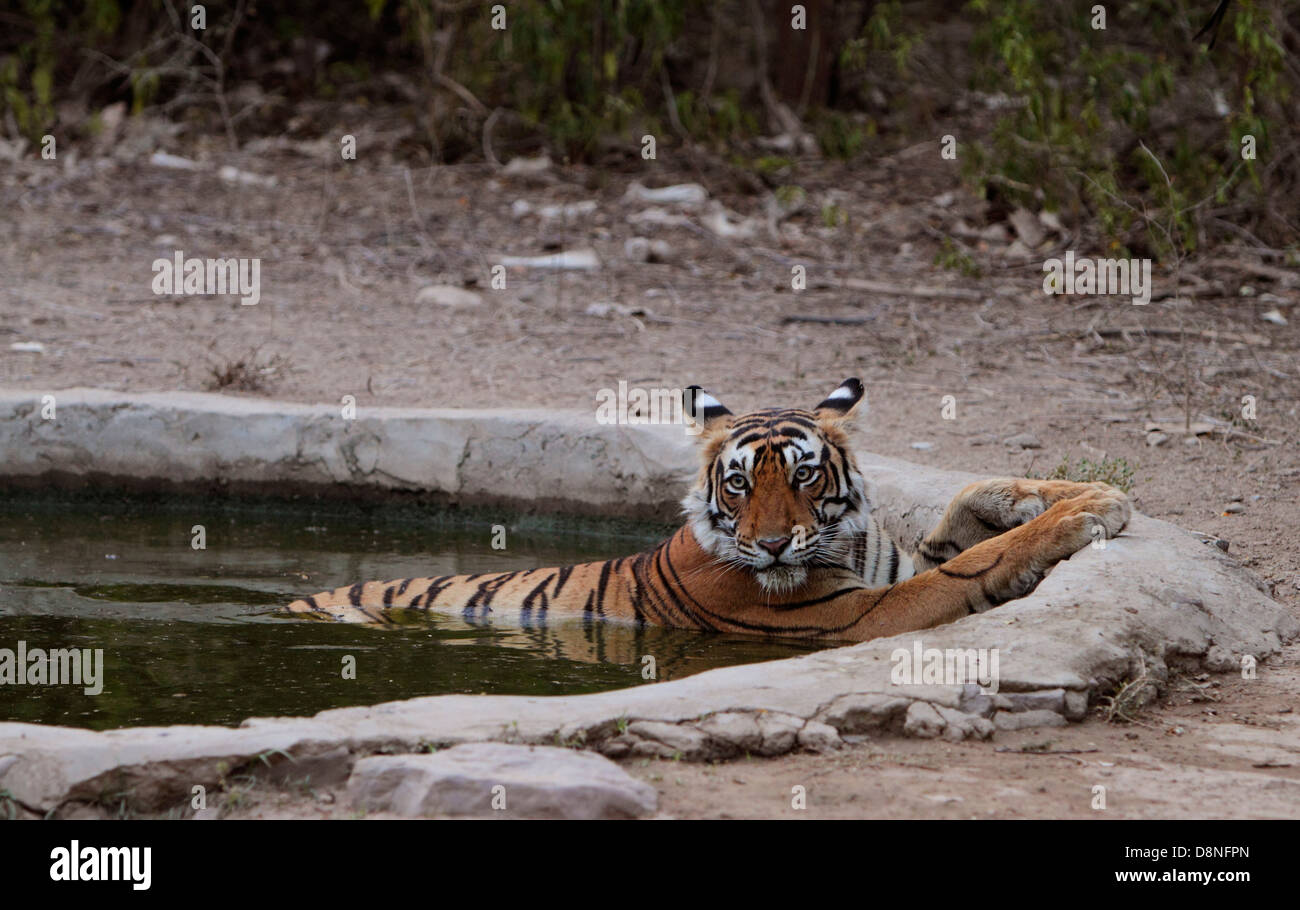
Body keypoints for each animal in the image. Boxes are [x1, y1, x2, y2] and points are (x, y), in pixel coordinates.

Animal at [285, 378, 1130, 642]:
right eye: (737, 486)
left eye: (804, 477)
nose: (776, 547)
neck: (842, 543)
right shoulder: (858, 614)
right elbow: (968, 568)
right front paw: (1074, 520)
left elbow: (961, 509)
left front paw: (1086, 494)